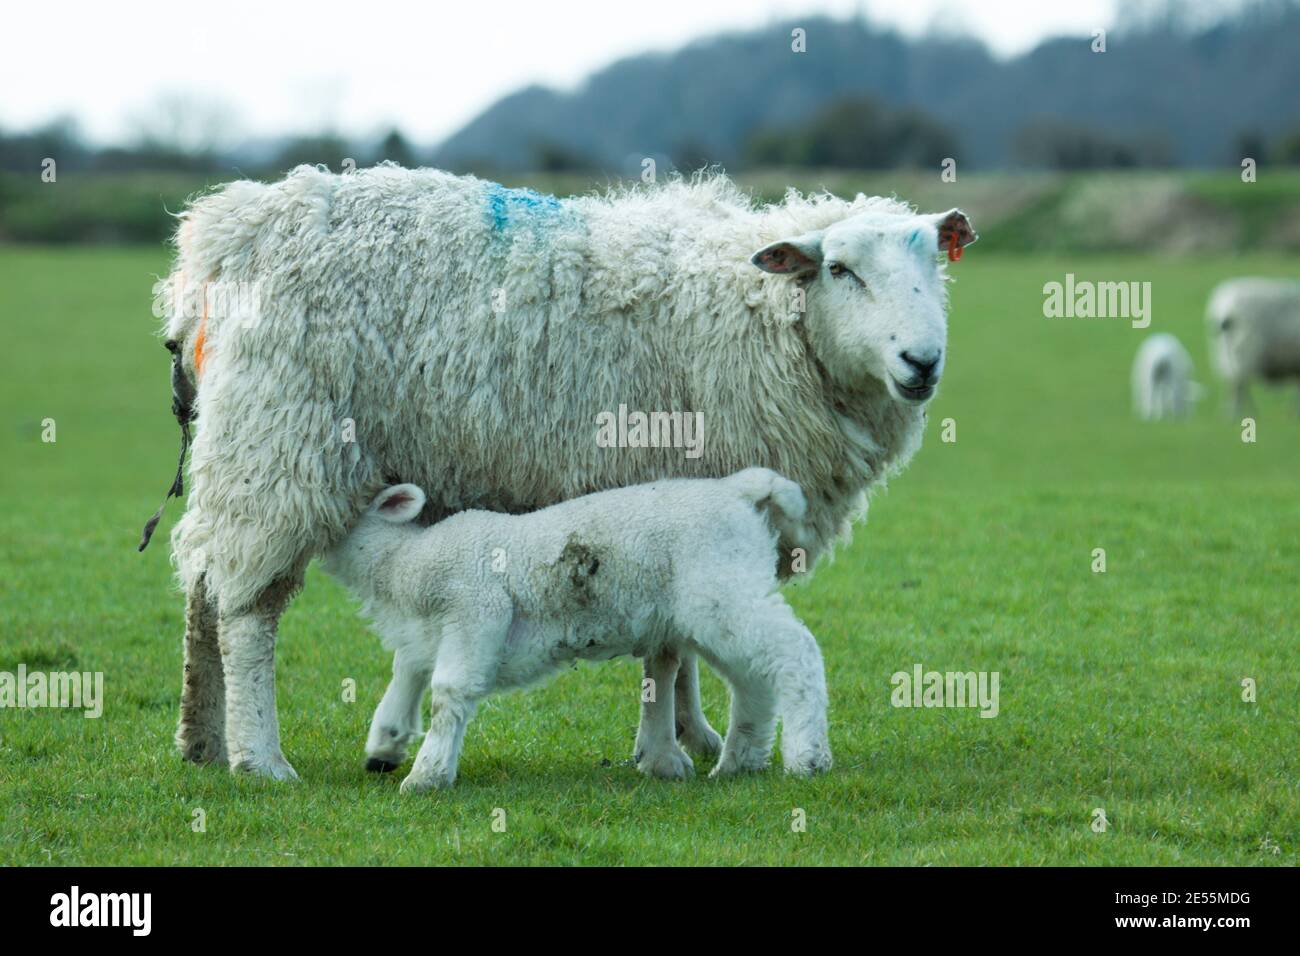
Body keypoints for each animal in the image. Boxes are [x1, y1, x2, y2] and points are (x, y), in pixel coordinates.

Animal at [320, 469, 829, 789]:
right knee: (753, 680)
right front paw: (389, 745)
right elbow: (409, 672)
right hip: (715, 605)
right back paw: (739, 762)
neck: (401, 562)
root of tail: (739, 490)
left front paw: (426, 776)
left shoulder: (477, 612)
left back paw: (807, 757)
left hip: (725, 592)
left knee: (796, 650)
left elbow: (448, 693)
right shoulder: (431, 632)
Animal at [1205, 277, 1300, 415]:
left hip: (1225, 353)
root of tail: (1225, 307)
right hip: (1245, 350)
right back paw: (1242, 413)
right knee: (1239, 384)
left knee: (1233, 383)